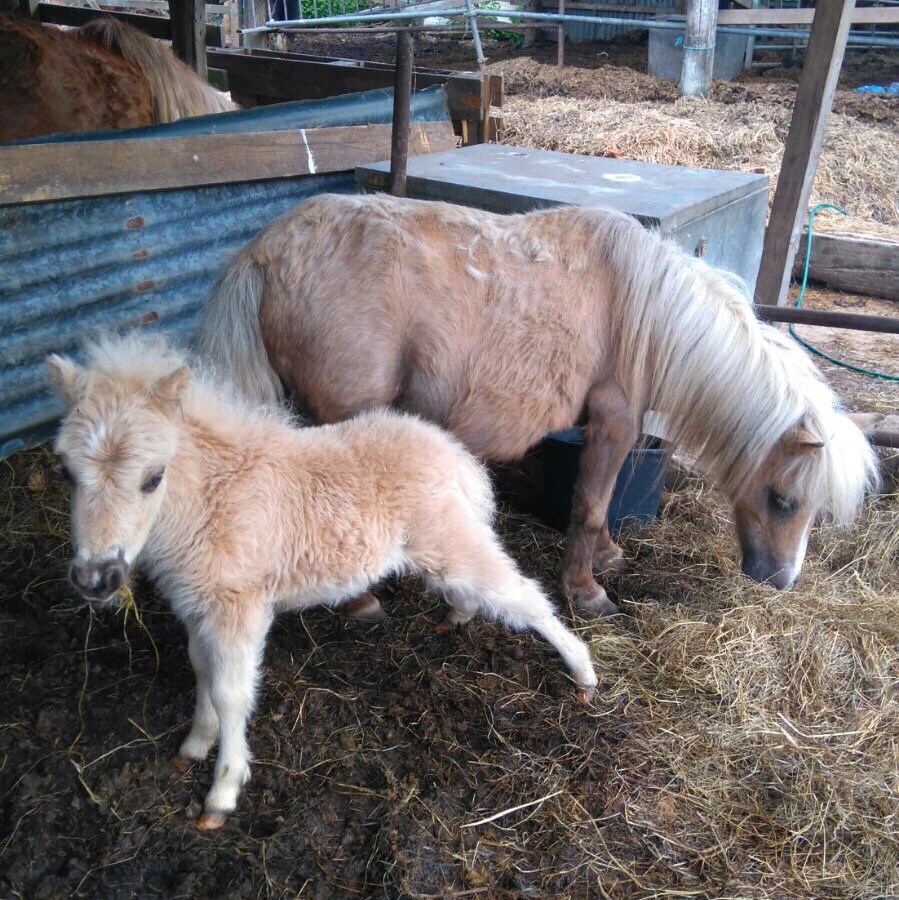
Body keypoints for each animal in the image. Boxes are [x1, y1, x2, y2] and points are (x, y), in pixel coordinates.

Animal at [48, 333, 597, 830]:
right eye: (67, 472)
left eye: (153, 477)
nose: (97, 578)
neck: (209, 499)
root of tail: (456, 456)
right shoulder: (198, 604)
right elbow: (202, 671)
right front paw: (193, 746)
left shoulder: (240, 606)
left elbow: (231, 693)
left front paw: (222, 793)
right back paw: (460, 615)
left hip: (451, 540)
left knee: (522, 594)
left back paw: (584, 674)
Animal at [197, 194, 879, 616]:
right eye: (784, 500)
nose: (781, 579)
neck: (649, 309)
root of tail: (265, 251)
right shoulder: (614, 419)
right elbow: (590, 504)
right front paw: (586, 590)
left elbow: (603, 505)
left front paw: (608, 556)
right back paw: (362, 602)